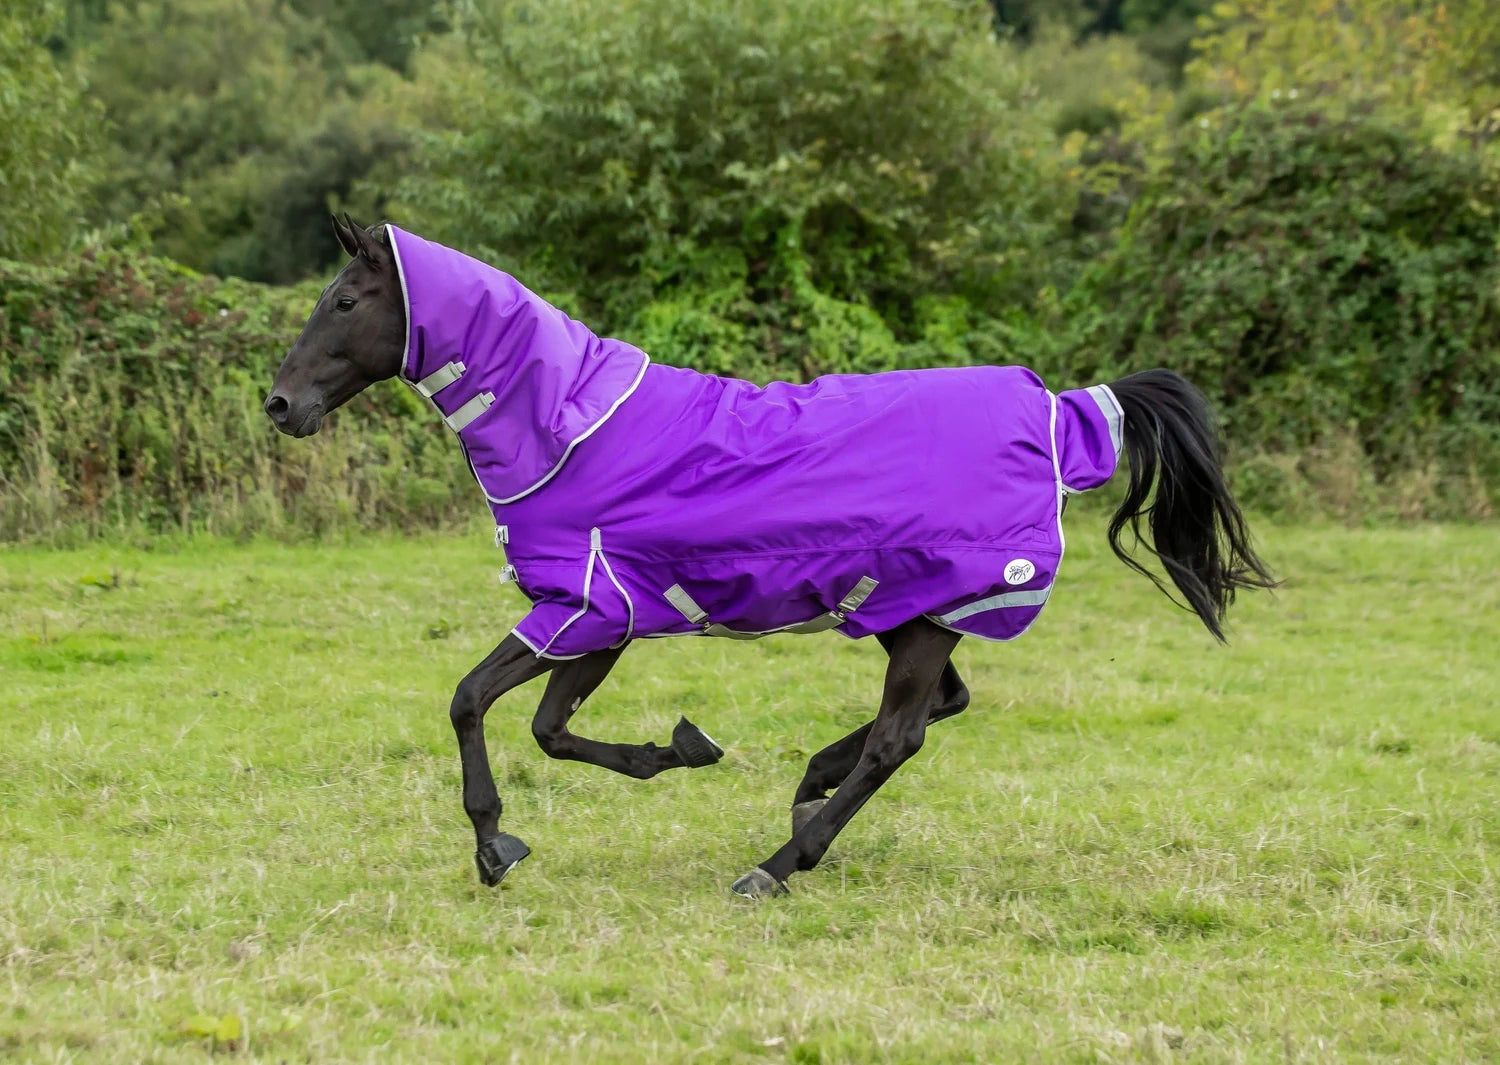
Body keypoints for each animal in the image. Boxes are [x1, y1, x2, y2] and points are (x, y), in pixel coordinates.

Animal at [264, 216, 1275, 899]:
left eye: (345, 301)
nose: (279, 405)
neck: (569, 423)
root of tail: (1063, 412)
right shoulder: (608, 618)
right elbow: (551, 729)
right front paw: (679, 749)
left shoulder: (586, 606)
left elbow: (472, 700)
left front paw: (491, 848)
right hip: (906, 608)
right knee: (937, 708)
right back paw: (809, 784)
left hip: (928, 614)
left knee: (902, 735)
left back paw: (781, 861)